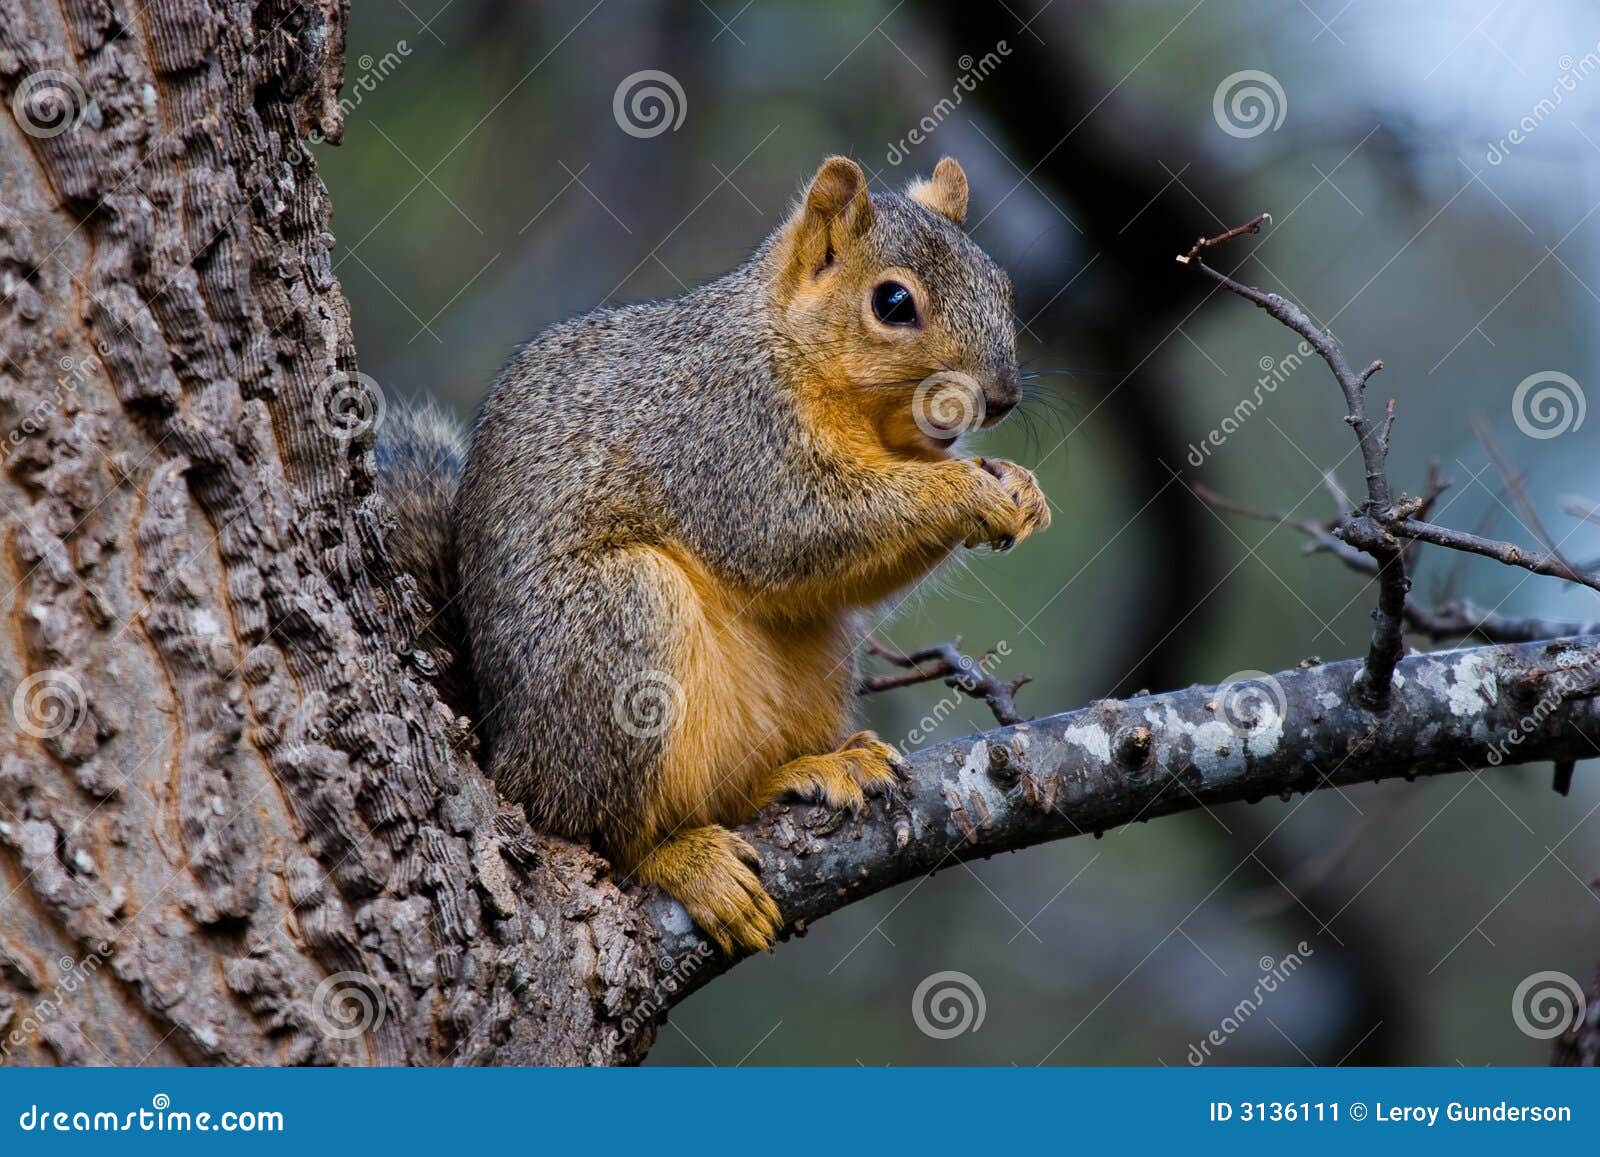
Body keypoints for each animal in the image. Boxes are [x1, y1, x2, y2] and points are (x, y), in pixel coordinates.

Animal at [378, 156, 1050, 952]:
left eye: (1001, 285)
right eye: (893, 303)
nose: (1003, 397)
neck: (787, 345)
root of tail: (501, 747)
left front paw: (1021, 487)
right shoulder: (725, 438)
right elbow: (792, 527)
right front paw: (965, 488)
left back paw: (815, 766)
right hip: (620, 628)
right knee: (593, 831)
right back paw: (685, 862)